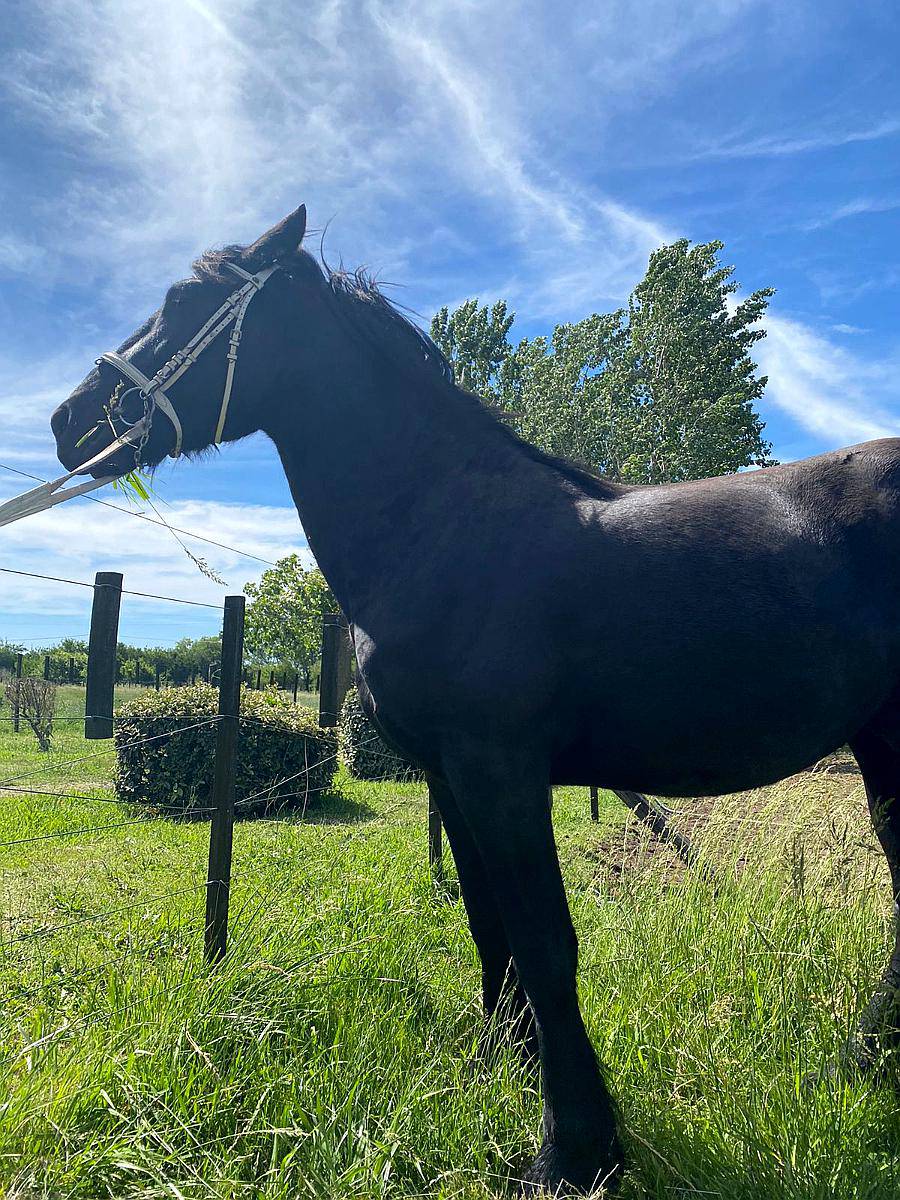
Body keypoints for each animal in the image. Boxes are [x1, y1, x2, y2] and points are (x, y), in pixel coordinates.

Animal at [51, 205, 900, 1193]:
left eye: (187, 299)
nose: (70, 420)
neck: (444, 529)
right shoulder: (451, 778)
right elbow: (490, 924)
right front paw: (505, 1064)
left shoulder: (500, 772)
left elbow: (544, 939)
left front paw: (573, 1151)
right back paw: (861, 1066)